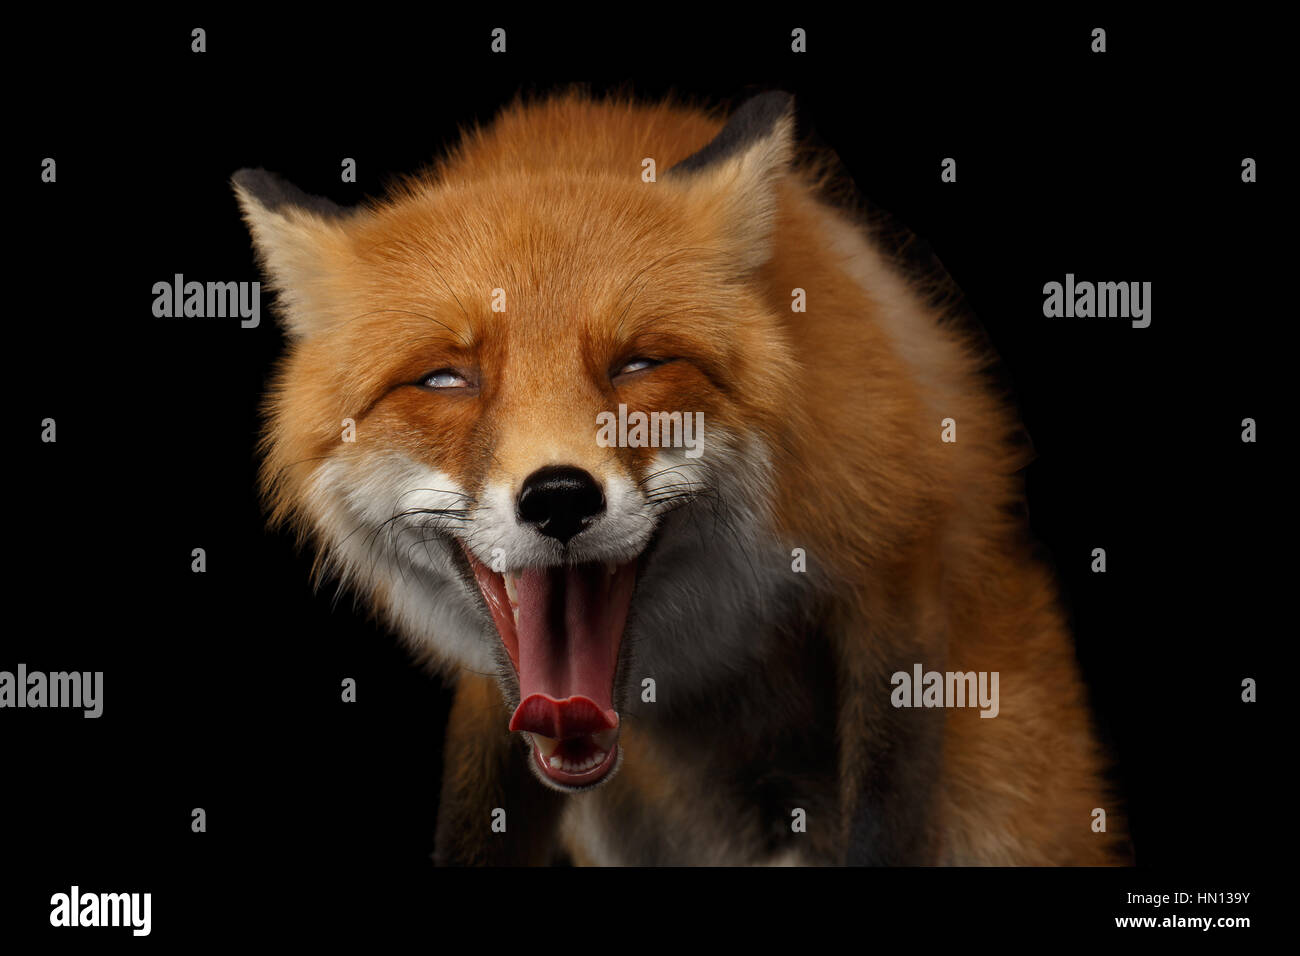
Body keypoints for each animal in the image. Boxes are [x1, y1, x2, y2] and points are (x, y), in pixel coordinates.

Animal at [233, 89, 1130, 866]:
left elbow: (886, 811)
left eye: (638, 365)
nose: (559, 497)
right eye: (446, 379)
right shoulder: (493, 690)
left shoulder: (895, 569)